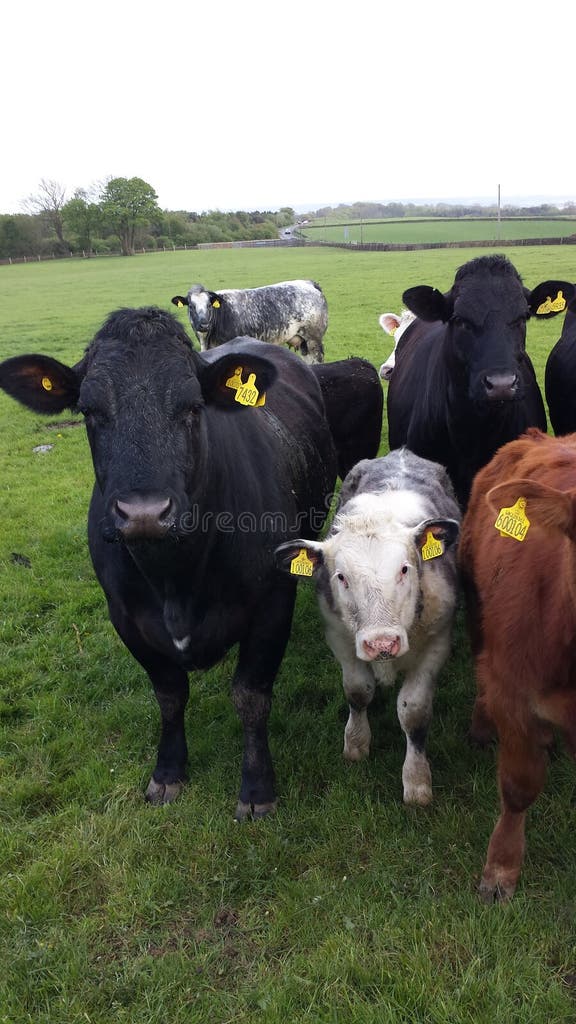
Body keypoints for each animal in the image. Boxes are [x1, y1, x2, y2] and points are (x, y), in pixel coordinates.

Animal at [0, 307, 339, 818]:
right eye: (89, 411)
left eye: (193, 407)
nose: (144, 512)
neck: (175, 580)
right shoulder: (126, 617)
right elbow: (169, 694)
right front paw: (168, 772)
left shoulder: (272, 604)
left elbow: (250, 697)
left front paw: (257, 788)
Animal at [171, 279, 328, 364]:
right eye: (191, 306)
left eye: (209, 305)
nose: (204, 324)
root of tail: (308, 283)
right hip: (303, 342)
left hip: (314, 339)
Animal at [276, 448, 460, 806]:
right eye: (341, 577)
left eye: (404, 569)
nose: (382, 644)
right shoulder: (340, 638)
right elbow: (358, 691)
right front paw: (356, 743)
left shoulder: (437, 644)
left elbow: (414, 712)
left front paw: (416, 781)